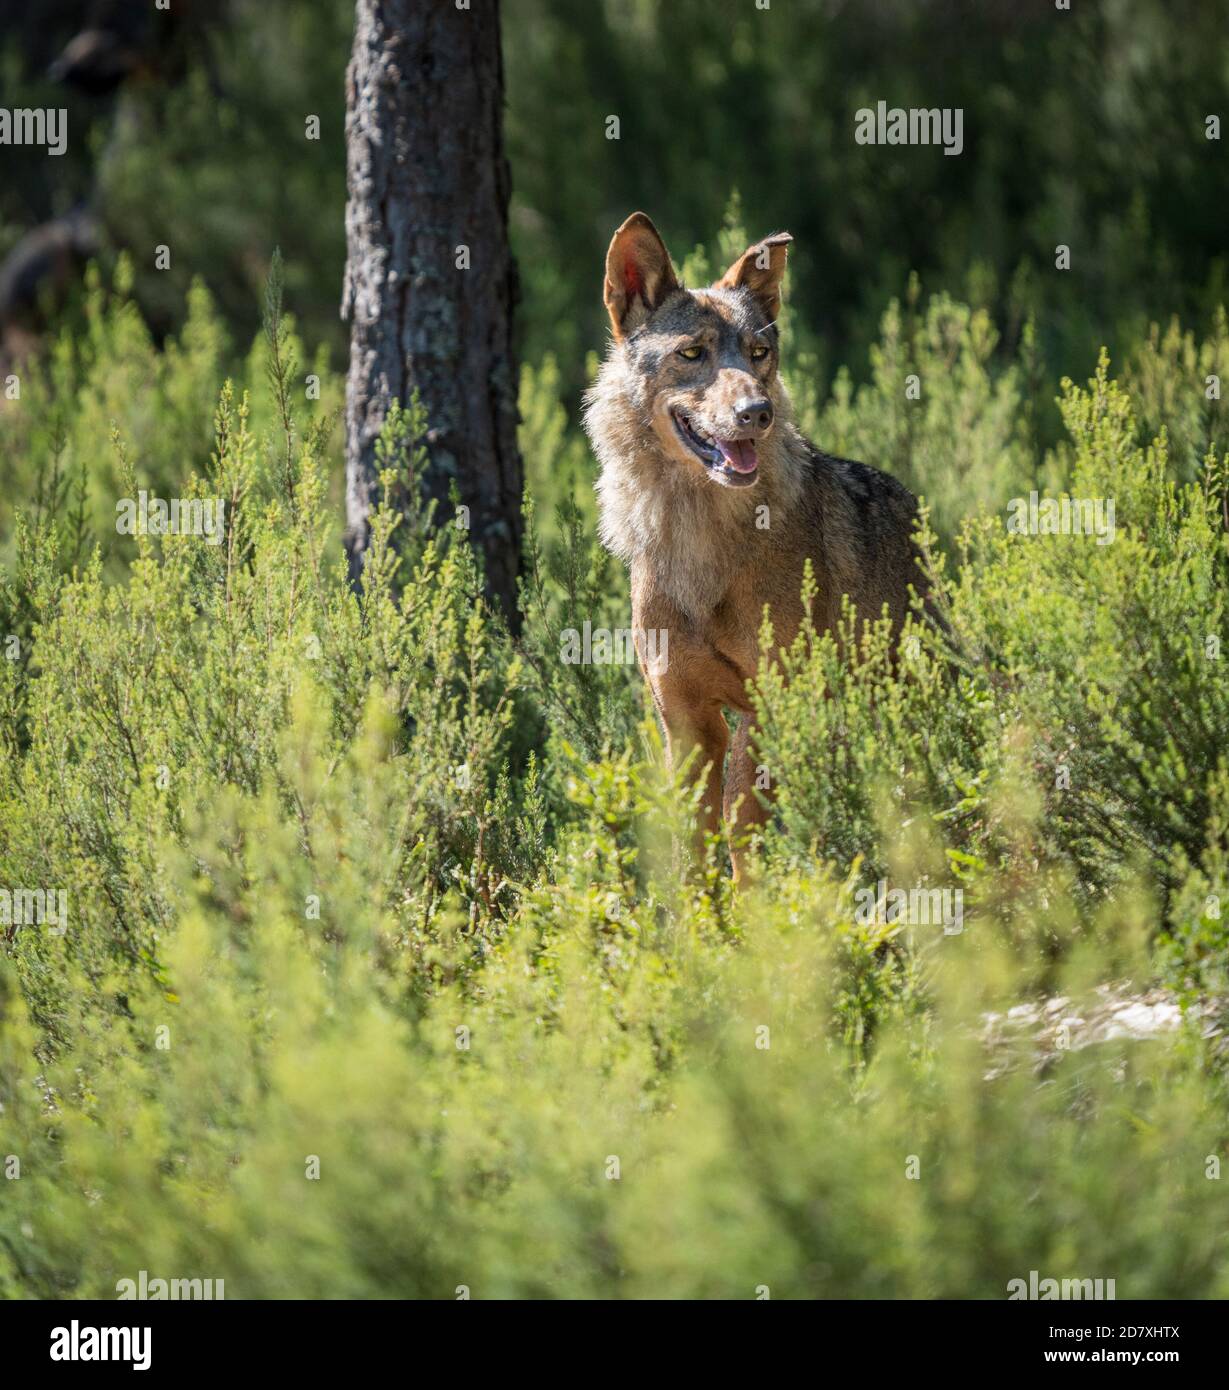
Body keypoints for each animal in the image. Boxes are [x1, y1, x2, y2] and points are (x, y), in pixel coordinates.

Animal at [583, 212, 926, 878]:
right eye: (693, 354)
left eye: (759, 354)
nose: (756, 411)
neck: (700, 546)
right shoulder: (686, 722)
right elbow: (694, 857)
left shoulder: (766, 707)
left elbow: (745, 844)